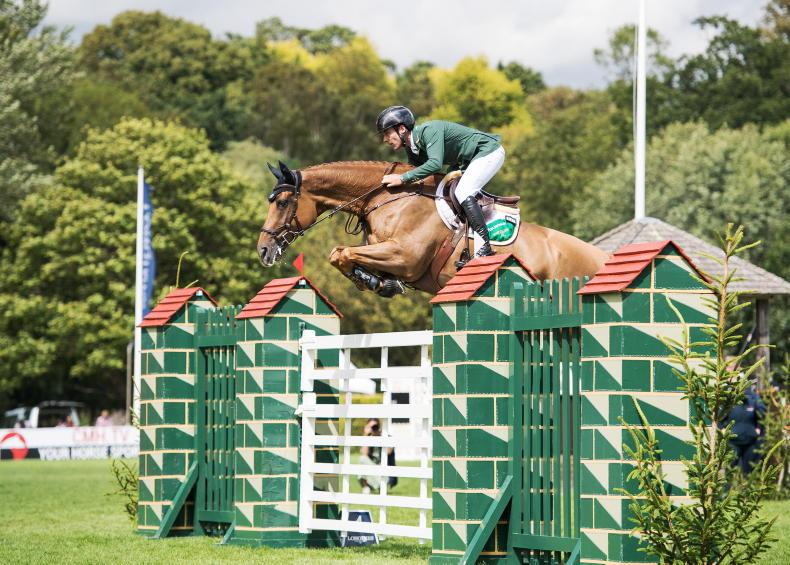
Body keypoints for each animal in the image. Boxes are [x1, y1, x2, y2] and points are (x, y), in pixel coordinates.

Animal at [257, 160, 608, 296]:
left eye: (282, 202)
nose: (263, 250)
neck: (386, 197)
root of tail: (599, 256)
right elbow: (342, 255)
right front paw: (379, 282)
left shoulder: (404, 257)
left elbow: (339, 252)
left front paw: (375, 282)